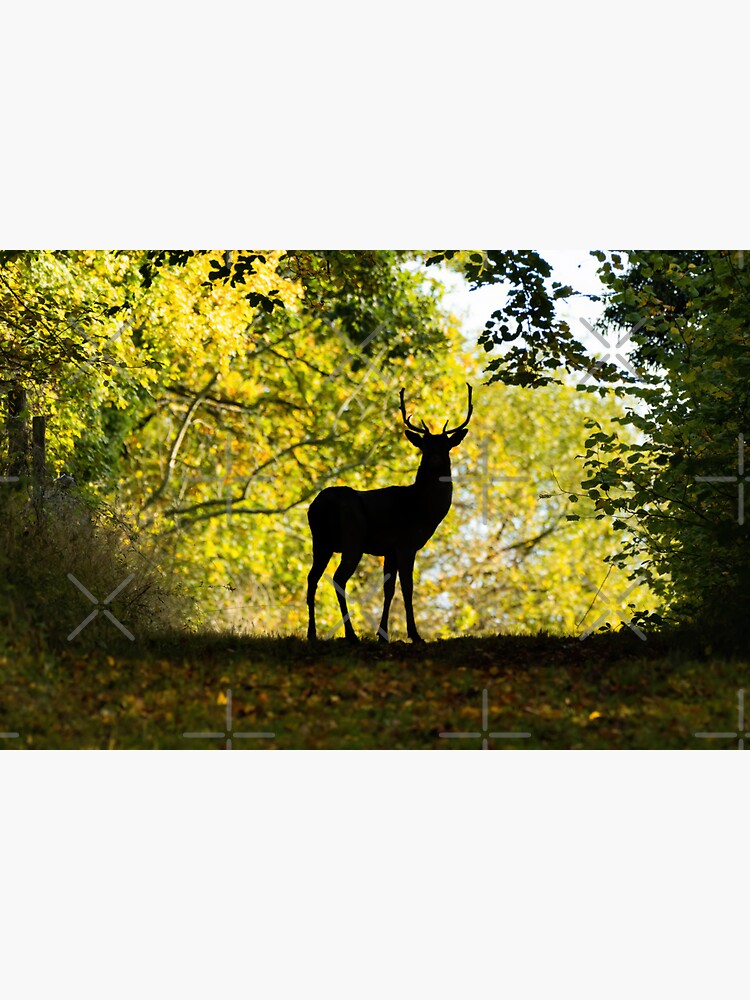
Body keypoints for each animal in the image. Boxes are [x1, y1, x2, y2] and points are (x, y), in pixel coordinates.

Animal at [306, 383, 473, 643]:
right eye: (425, 446)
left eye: (446, 446)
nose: (436, 461)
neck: (423, 511)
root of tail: (318, 506)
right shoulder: (405, 544)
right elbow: (407, 588)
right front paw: (414, 634)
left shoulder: (389, 550)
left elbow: (389, 589)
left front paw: (383, 634)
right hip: (352, 539)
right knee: (338, 578)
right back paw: (350, 634)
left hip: (321, 541)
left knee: (312, 578)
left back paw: (312, 633)